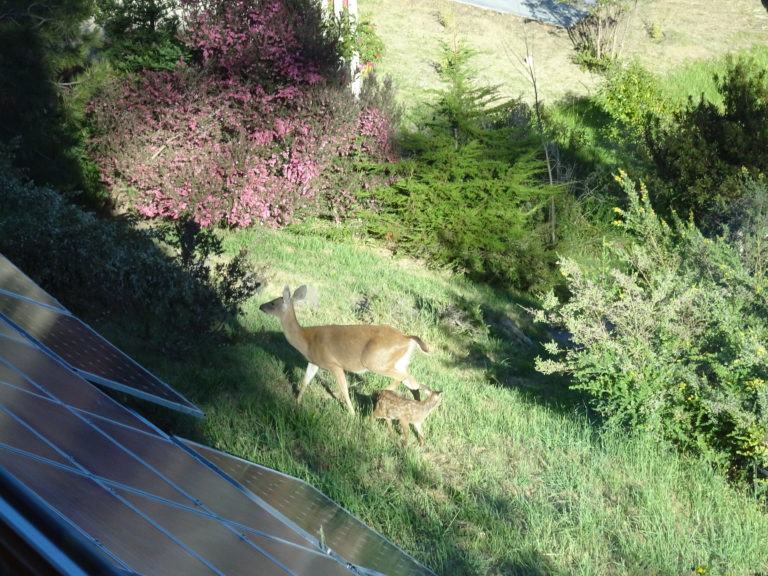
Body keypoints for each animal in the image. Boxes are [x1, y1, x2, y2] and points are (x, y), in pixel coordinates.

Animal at [259, 285, 429, 415]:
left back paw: (378, 395)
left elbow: (344, 390)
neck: (306, 340)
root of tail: (407, 339)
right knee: (413, 382)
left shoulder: (334, 364)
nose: (261, 306)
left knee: (404, 378)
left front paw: (352, 414)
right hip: (398, 362)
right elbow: (305, 381)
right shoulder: (314, 362)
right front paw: (296, 401)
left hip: (375, 361)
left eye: (273, 303)